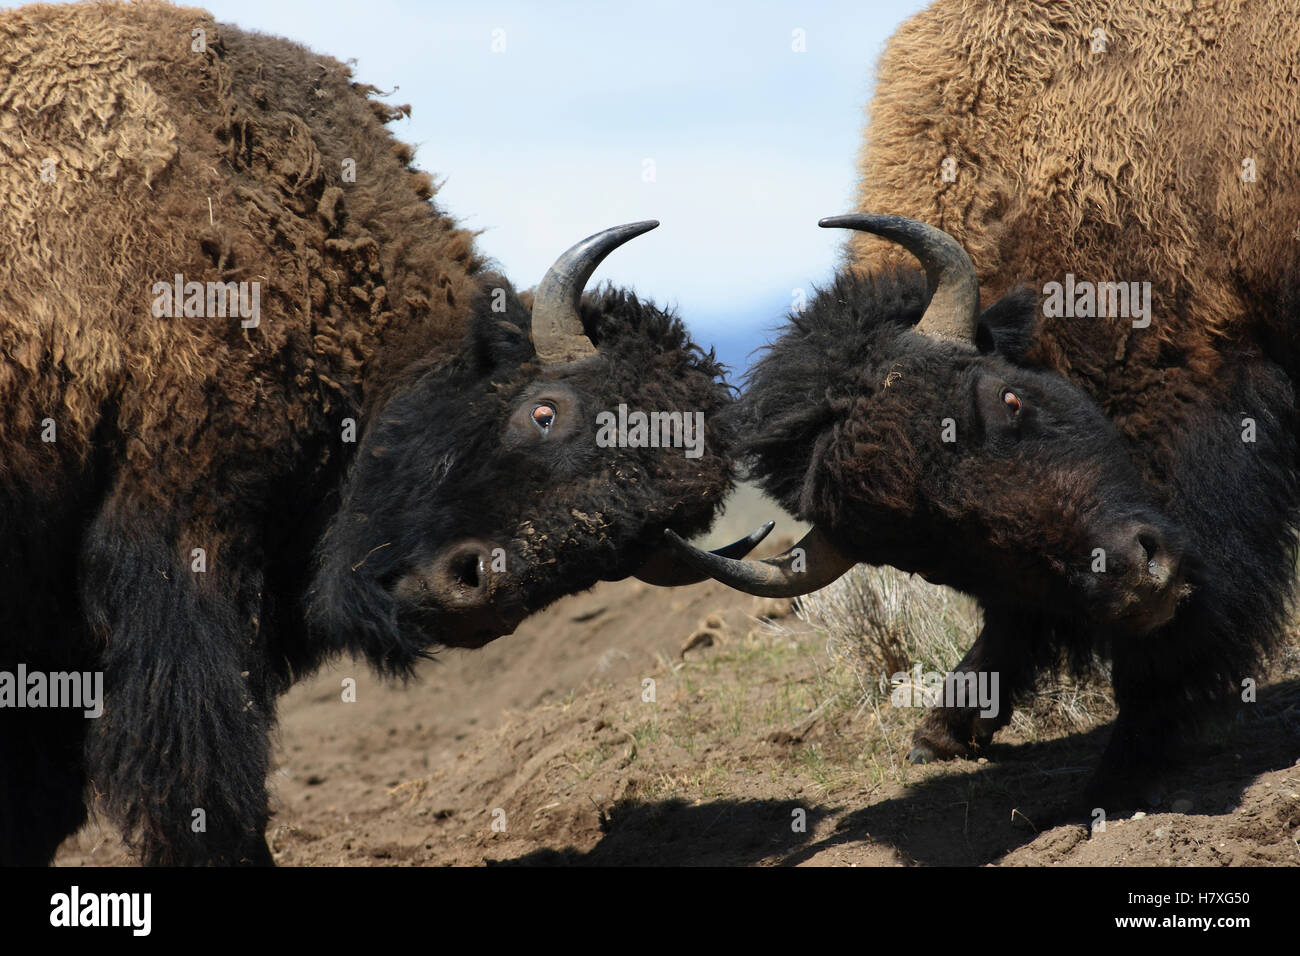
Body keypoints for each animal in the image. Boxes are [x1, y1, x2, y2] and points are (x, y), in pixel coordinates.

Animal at [667, 0, 1300, 812]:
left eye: (1007, 398)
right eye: (935, 550)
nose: (1133, 575)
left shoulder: (1206, 399)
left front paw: (1123, 770)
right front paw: (943, 730)